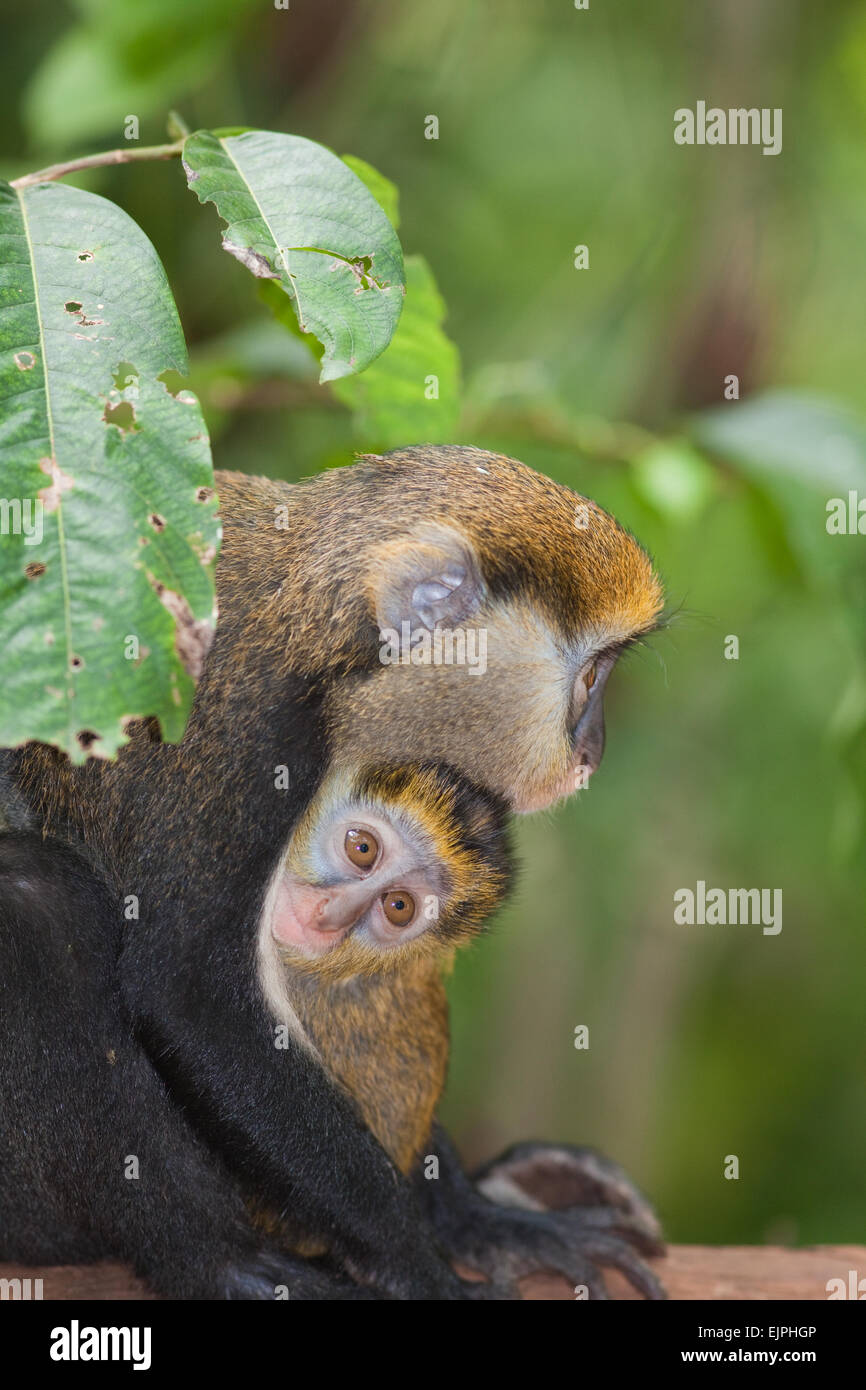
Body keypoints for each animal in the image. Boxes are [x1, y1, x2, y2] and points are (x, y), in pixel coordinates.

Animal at [2, 445, 665, 1298]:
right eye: (592, 677)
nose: (595, 750)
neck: (322, 631)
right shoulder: (249, 730)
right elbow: (192, 992)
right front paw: (423, 1267)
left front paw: (477, 1220)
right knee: (37, 899)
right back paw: (223, 1262)